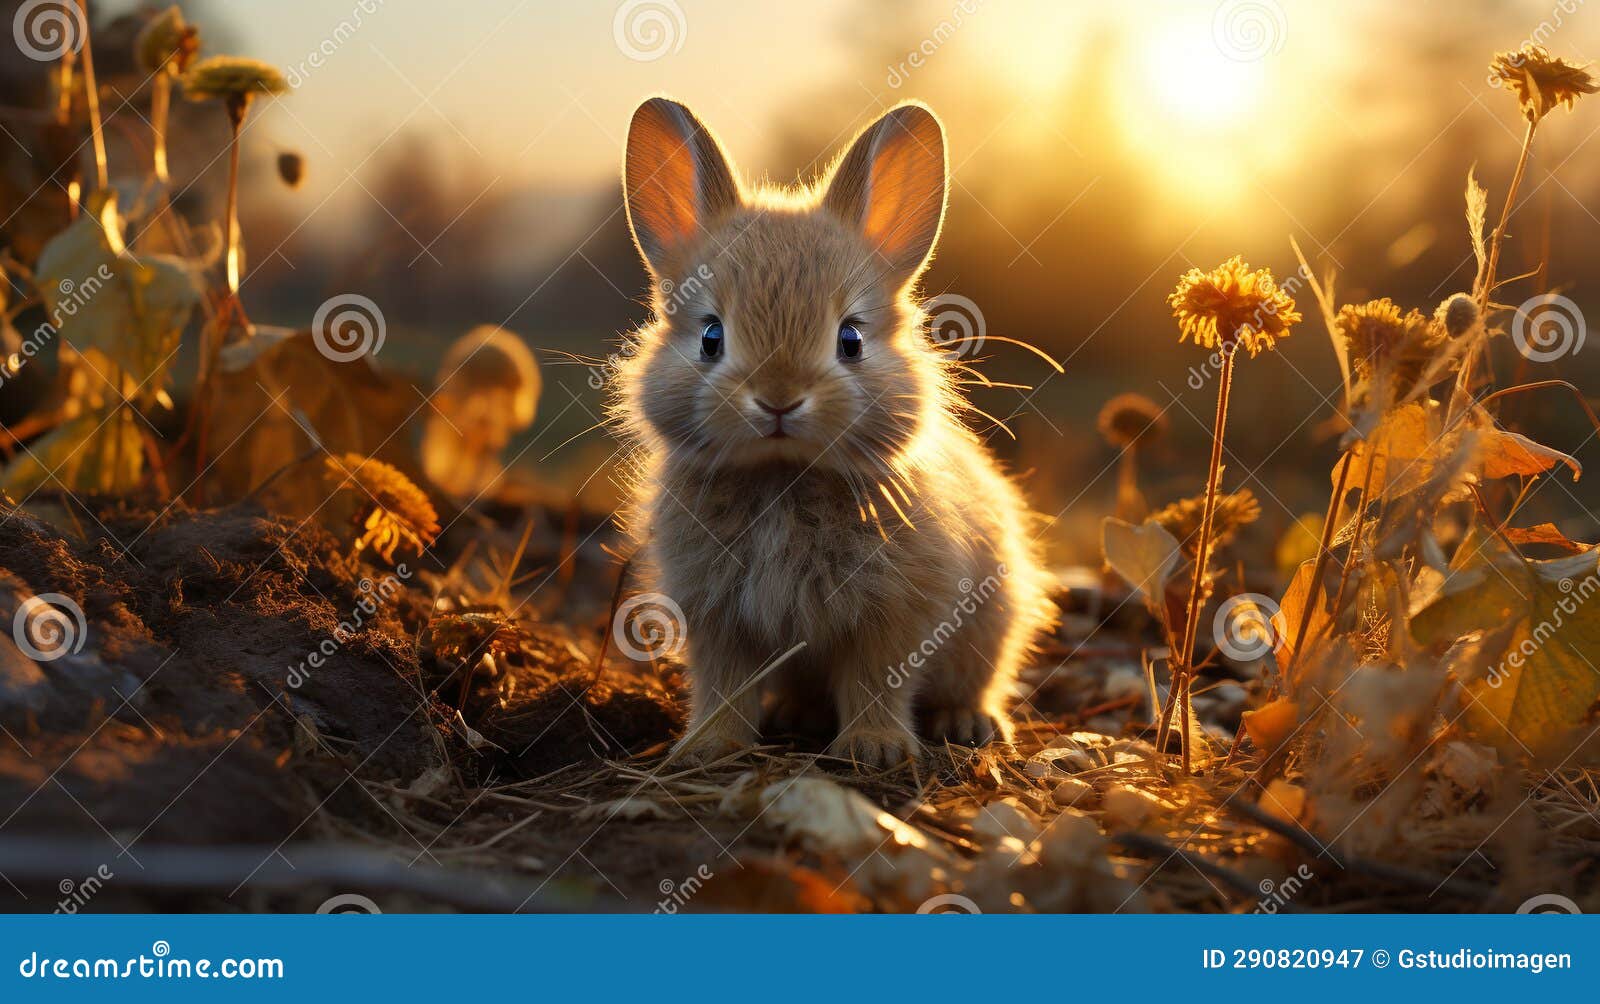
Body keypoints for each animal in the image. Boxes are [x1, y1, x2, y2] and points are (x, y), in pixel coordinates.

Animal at [610, 96, 1057, 768]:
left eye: (851, 339)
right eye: (711, 336)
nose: (778, 399)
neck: (783, 474)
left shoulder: (894, 614)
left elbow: (877, 679)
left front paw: (875, 749)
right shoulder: (714, 615)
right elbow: (724, 682)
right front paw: (710, 746)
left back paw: (966, 723)